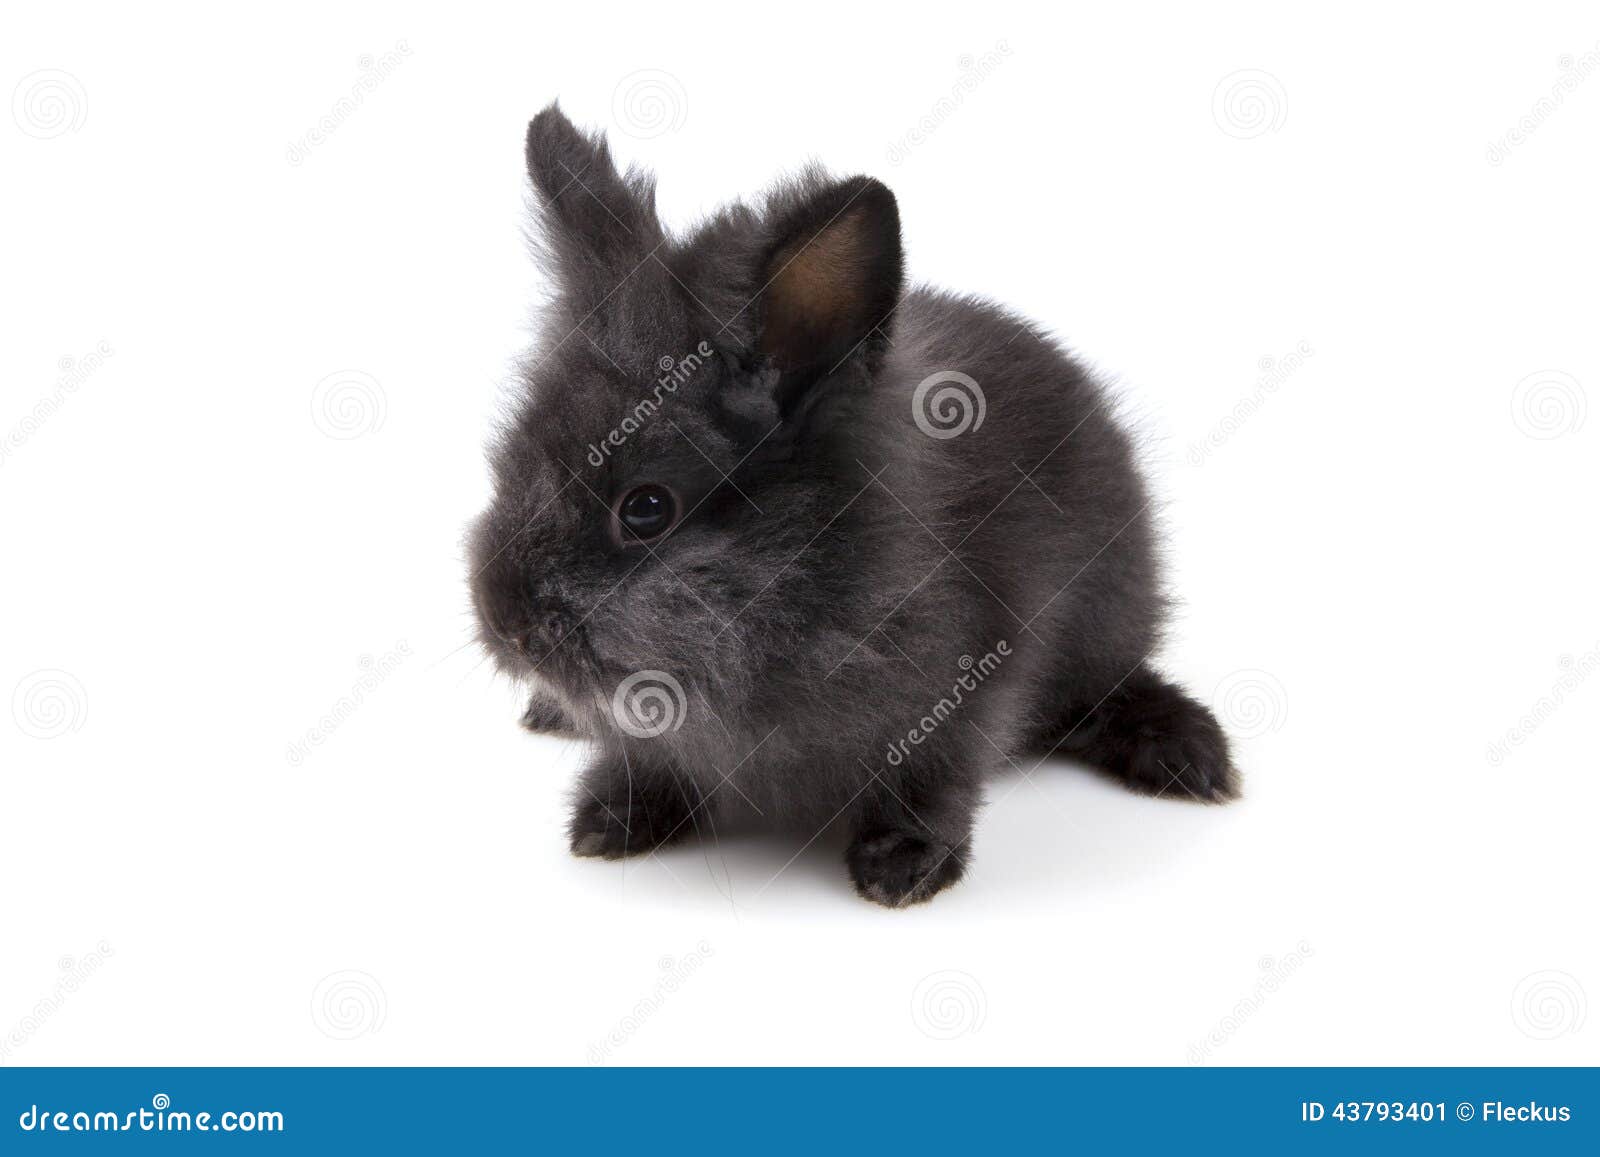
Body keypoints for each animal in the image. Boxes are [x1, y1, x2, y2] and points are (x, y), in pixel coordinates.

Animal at [468, 104, 1237, 908]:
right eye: (512, 463)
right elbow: (645, 760)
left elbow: (931, 780)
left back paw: (1192, 757)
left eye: (646, 508)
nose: (505, 620)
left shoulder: (965, 690)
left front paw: (901, 867)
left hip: (1109, 619)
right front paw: (611, 821)